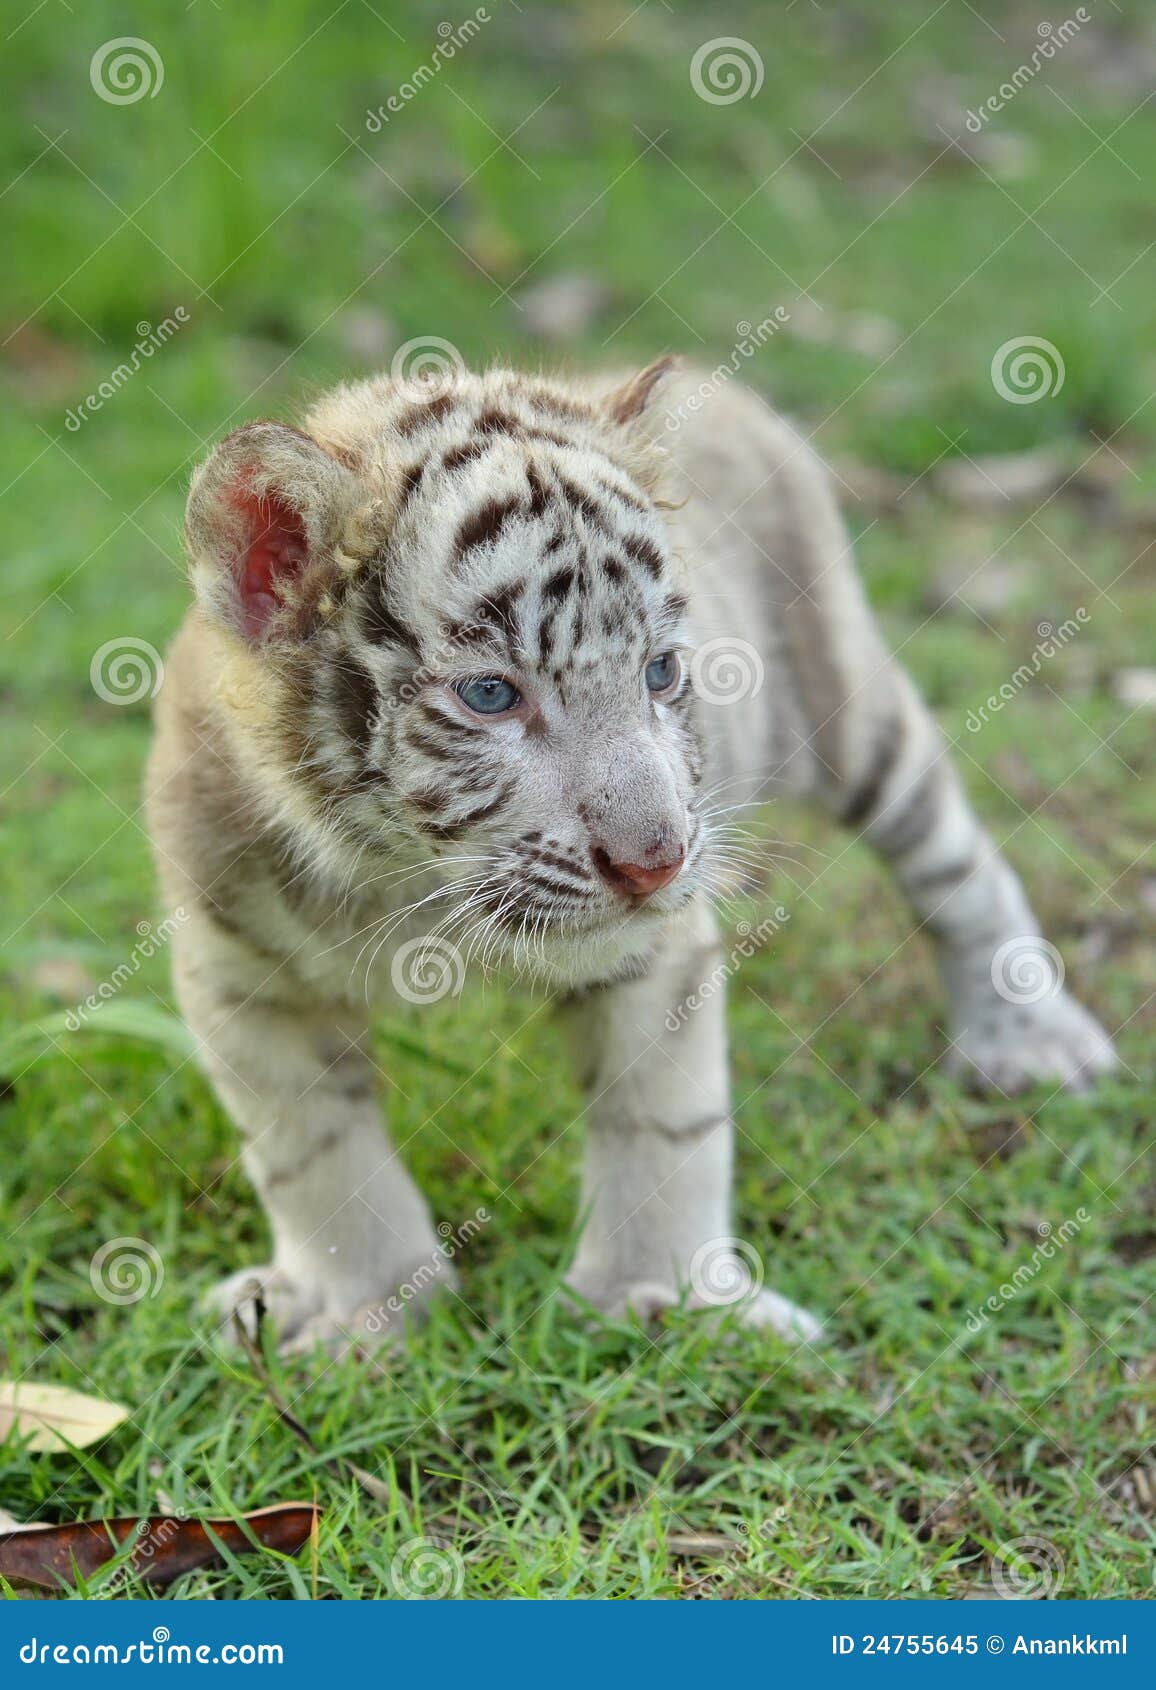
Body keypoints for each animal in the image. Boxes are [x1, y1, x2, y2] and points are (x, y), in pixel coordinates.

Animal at [146, 357, 1117, 1352]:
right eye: (491, 694)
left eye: (659, 672)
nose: (658, 861)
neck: (406, 881)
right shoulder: (236, 969)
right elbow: (315, 1155)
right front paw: (361, 1312)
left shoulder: (659, 953)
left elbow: (664, 1125)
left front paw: (658, 1293)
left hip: (849, 712)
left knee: (956, 860)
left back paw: (1032, 1040)